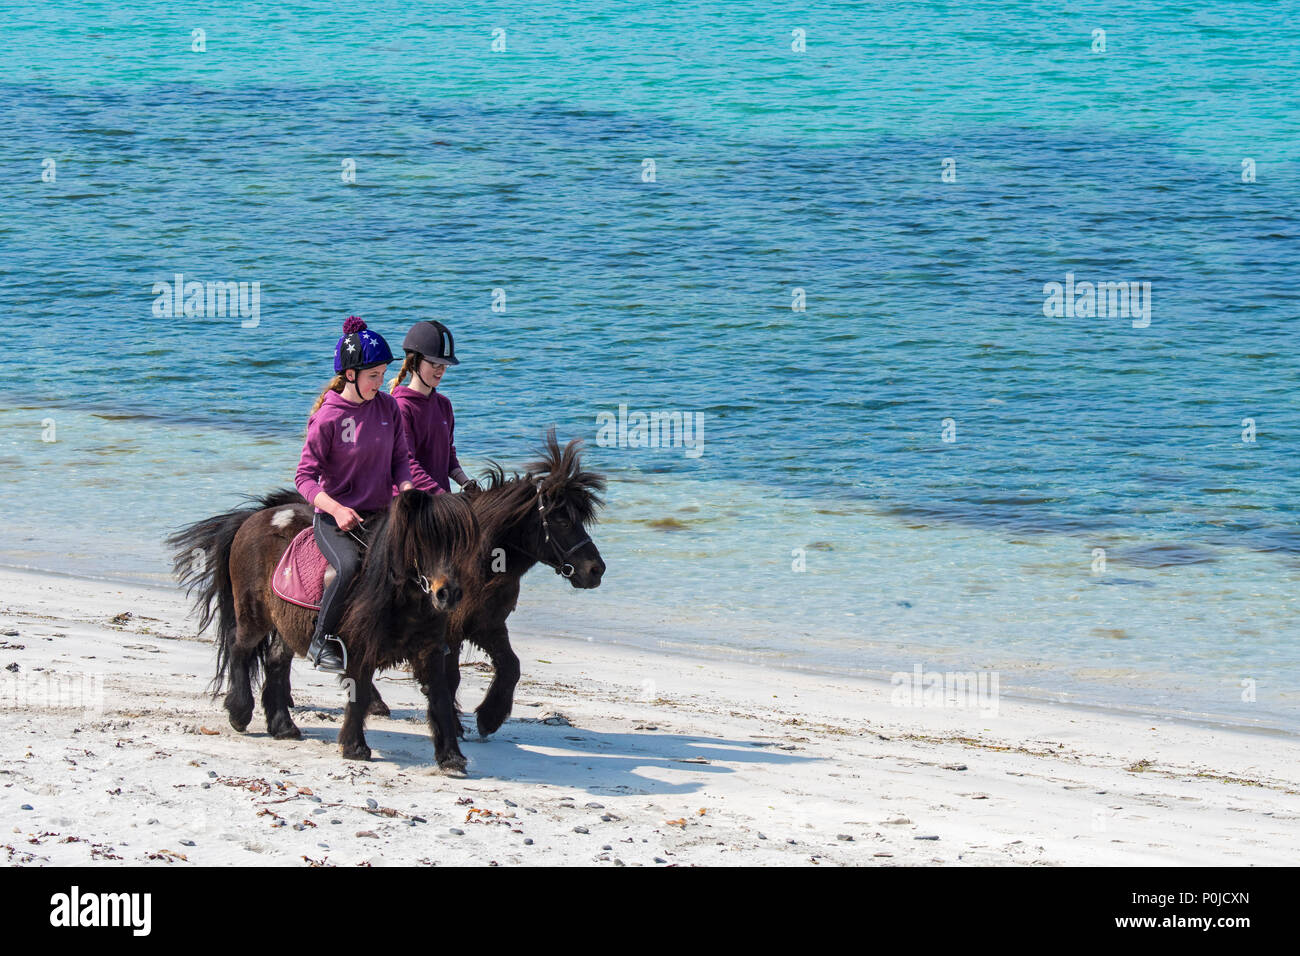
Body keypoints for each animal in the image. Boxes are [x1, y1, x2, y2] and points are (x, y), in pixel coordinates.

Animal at [167, 488, 480, 771]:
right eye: (423, 540)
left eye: (461, 542)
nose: (448, 594)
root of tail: (253, 518)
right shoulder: (359, 650)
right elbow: (359, 693)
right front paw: (354, 748)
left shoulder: (430, 650)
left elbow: (440, 696)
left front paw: (451, 758)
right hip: (253, 615)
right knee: (239, 649)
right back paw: (239, 712)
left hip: (286, 624)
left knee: (275, 661)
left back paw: (282, 726)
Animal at [367, 429, 607, 736]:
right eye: (563, 521)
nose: (596, 570)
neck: (479, 564)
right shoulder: (450, 630)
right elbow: (451, 676)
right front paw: (454, 721)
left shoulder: (487, 624)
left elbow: (511, 666)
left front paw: (489, 717)